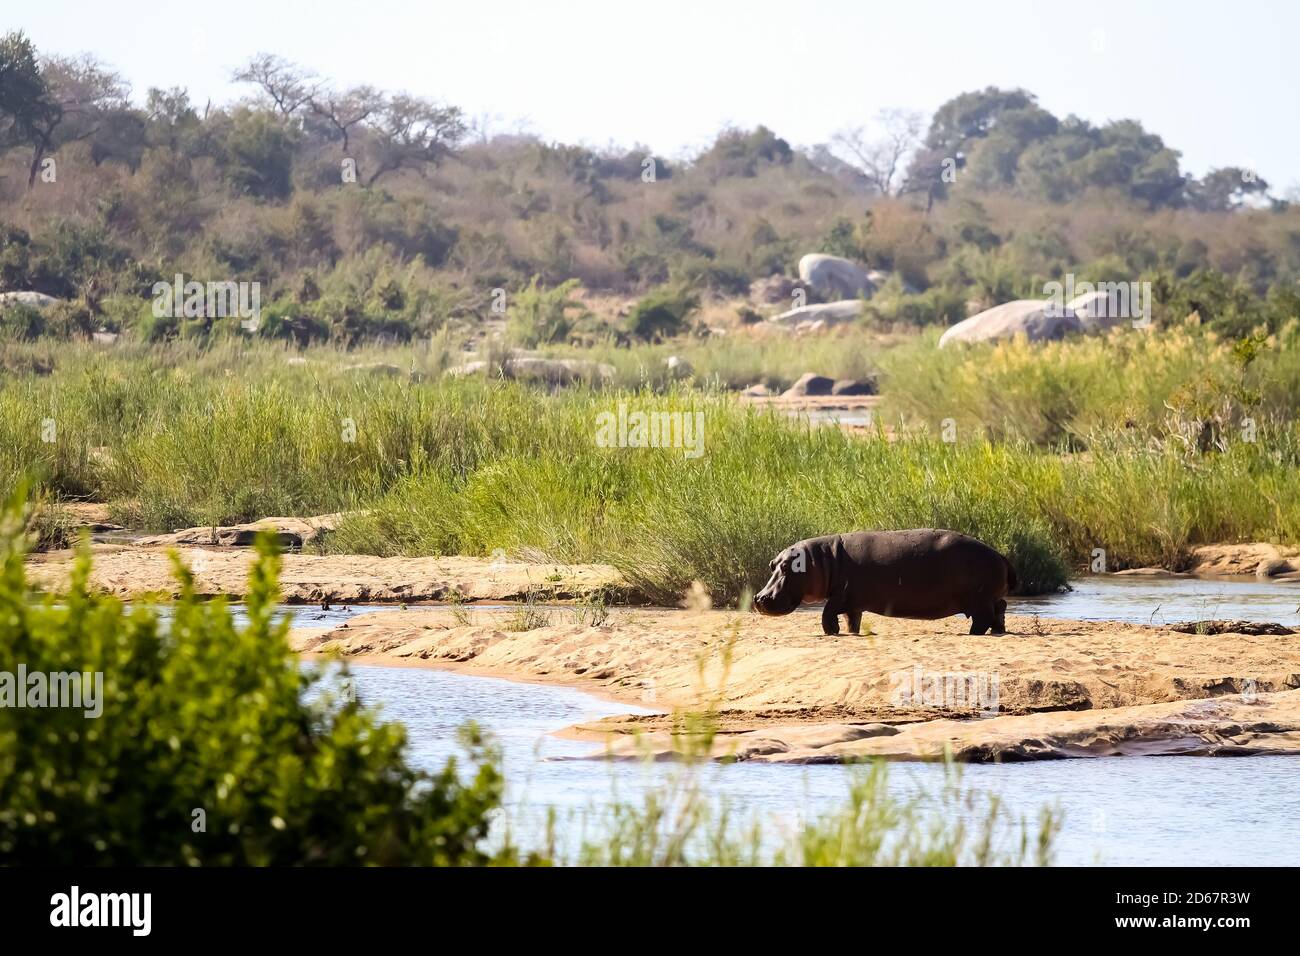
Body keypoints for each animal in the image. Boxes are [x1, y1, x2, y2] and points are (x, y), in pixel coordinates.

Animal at [753, 529, 1017, 635]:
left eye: (786, 567)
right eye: (772, 564)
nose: (758, 598)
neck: (821, 559)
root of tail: (1000, 554)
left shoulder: (840, 596)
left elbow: (827, 613)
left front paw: (832, 632)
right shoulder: (853, 602)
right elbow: (852, 619)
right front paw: (849, 632)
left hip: (980, 600)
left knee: (984, 618)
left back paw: (973, 633)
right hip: (990, 598)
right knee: (1000, 609)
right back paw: (999, 630)